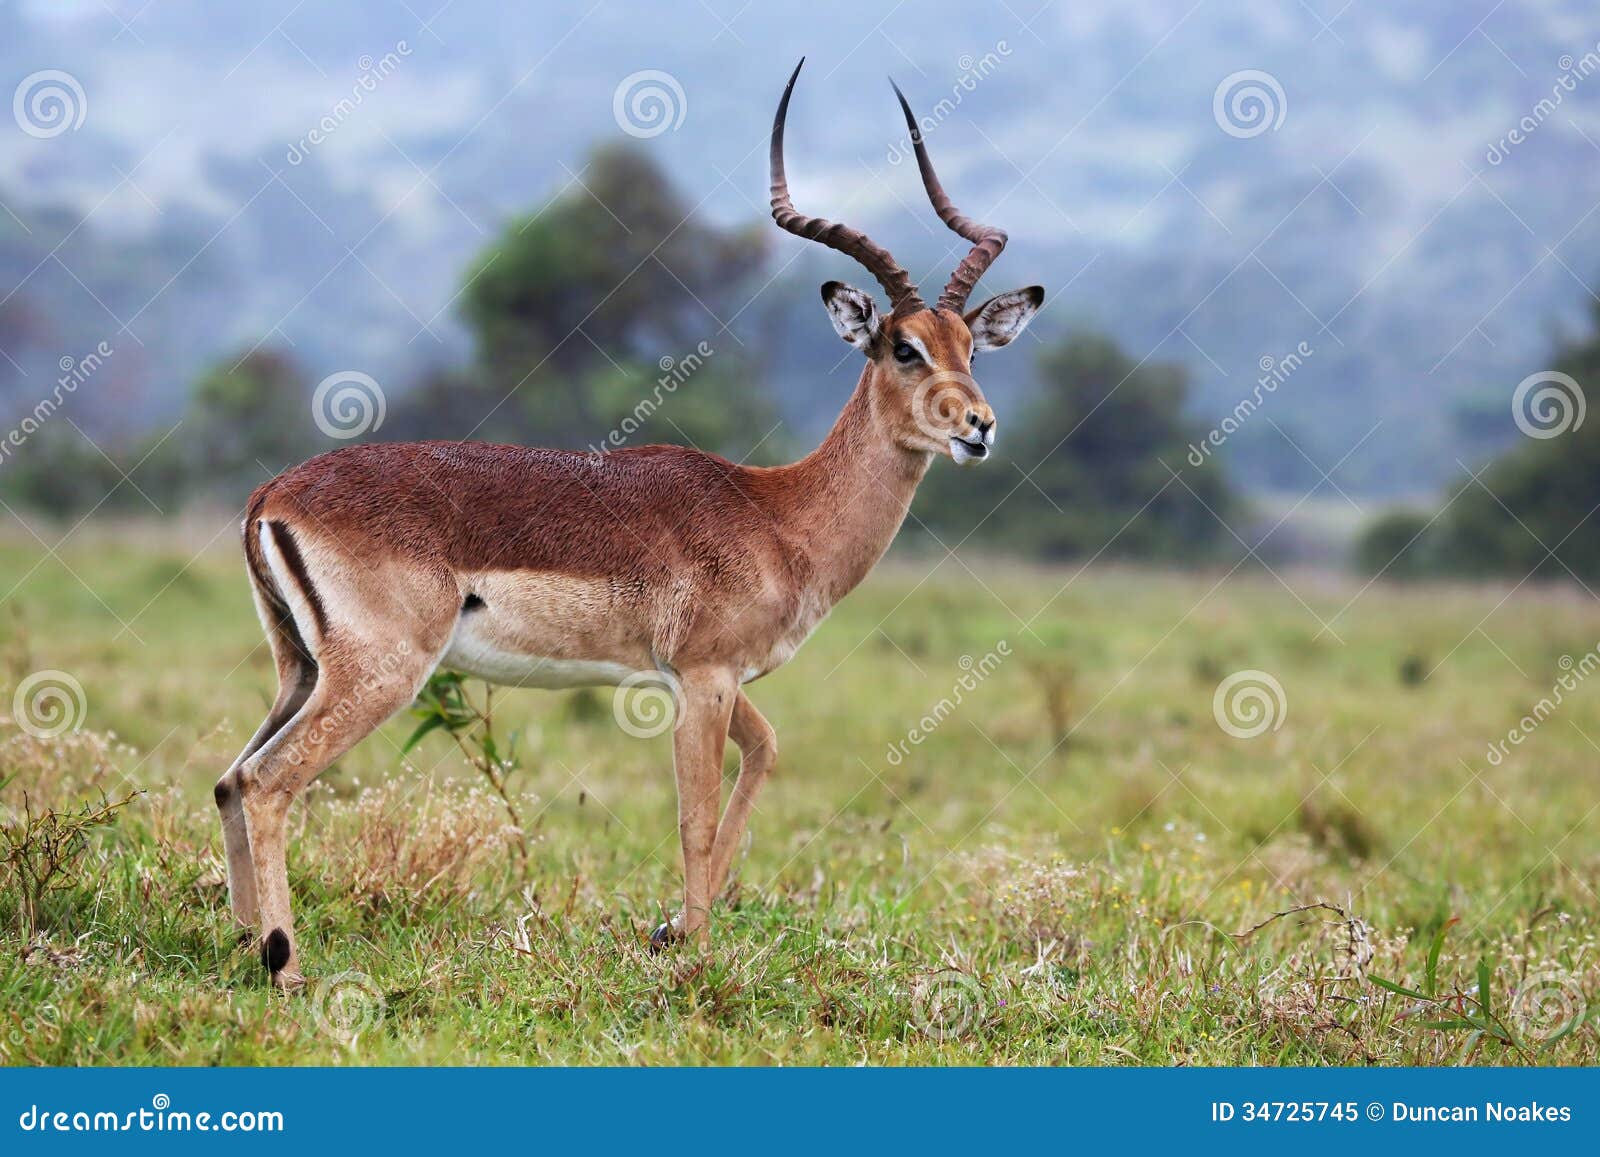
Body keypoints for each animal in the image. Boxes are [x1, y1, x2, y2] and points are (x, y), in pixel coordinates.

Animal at [213, 59, 1044, 987]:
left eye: (971, 347)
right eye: (904, 347)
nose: (979, 426)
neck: (776, 513)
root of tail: (273, 493)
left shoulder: (707, 680)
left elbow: (764, 755)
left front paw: (670, 931)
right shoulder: (706, 677)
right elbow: (696, 815)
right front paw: (695, 955)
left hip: (299, 669)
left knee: (231, 777)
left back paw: (245, 943)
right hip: (379, 673)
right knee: (269, 781)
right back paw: (286, 965)